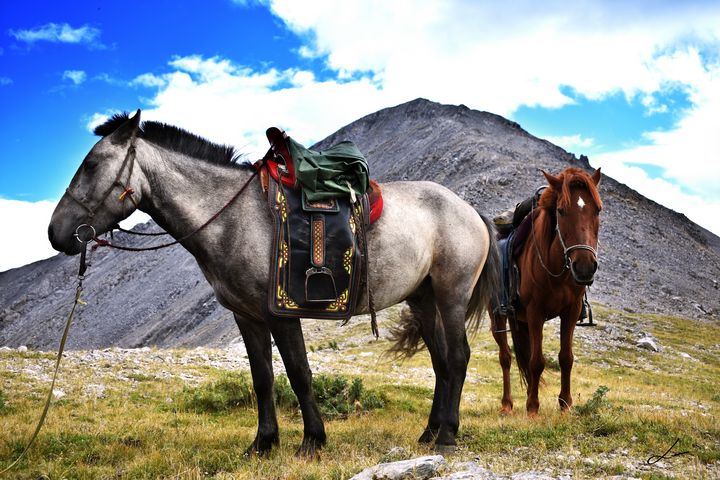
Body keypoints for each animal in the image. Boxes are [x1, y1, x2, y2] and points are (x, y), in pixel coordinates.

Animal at [47, 110, 501, 456]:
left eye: (91, 165)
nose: (56, 233)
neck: (232, 218)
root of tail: (468, 209)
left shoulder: (281, 313)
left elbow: (299, 373)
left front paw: (312, 441)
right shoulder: (247, 318)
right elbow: (262, 378)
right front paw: (263, 444)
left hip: (451, 294)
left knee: (458, 357)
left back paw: (446, 436)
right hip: (422, 299)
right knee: (440, 362)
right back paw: (429, 432)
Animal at [489, 167, 602, 417]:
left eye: (598, 210)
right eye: (561, 211)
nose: (585, 266)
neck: (555, 270)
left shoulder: (571, 312)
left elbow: (565, 358)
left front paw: (565, 404)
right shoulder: (535, 313)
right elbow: (536, 361)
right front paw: (533, 407)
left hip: (521, 320)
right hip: (498, 316)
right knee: (506, 357)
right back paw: (507, 404)